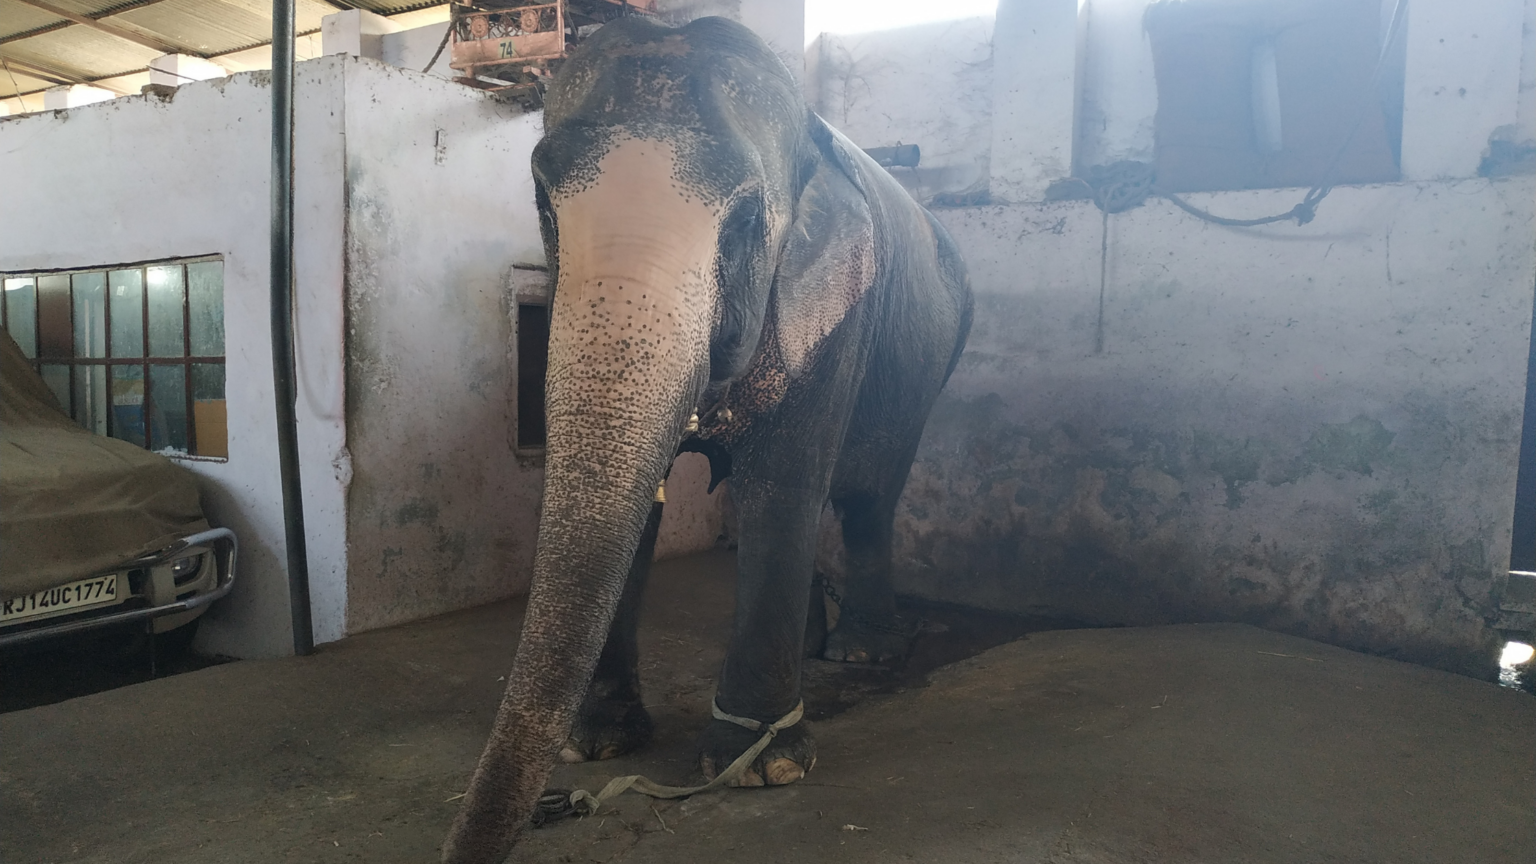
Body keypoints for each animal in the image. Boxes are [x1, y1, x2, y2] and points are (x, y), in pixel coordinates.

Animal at [443, 15, 973, 863]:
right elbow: (644, 514)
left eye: (748, 222)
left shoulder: (832, 317)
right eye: (544, 208)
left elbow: (779, 490)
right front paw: (597, 745)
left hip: (926, 368)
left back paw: (861, 654)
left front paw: (762, 767)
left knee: (866, 498)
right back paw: (820, 645)